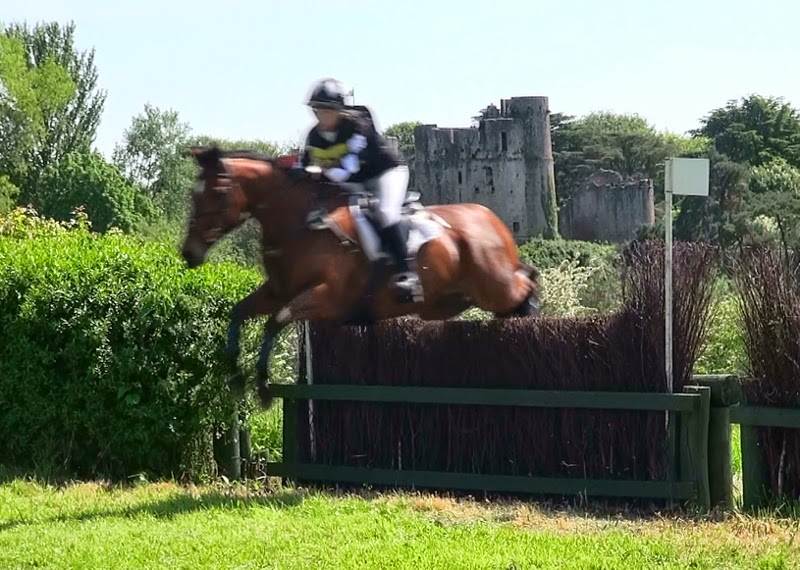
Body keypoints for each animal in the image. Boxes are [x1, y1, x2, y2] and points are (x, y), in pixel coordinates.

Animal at [180, 144, 541, 409]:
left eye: (216, 193)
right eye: (193, 195)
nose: (189, 253)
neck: (302, 224)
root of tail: (491, 218)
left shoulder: (328, 298)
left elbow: (276, 321)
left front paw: (263, 388)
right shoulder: (277, 291)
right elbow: (238, 313)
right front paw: (234, 378)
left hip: (496, 286)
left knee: (527, 284)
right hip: (451, 300)